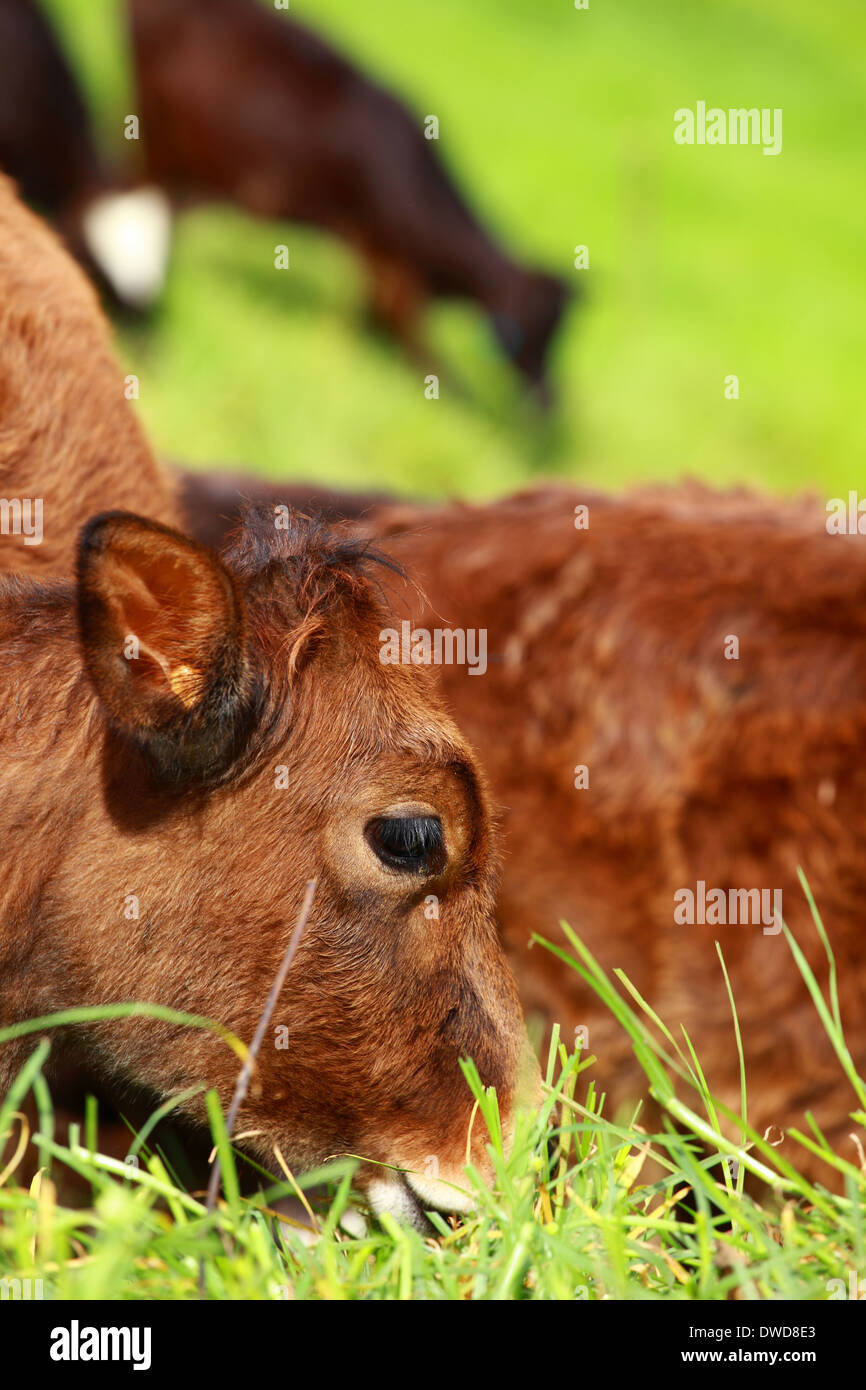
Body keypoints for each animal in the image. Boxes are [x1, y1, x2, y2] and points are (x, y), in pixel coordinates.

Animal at [126, 0, 570, 401]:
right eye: (530, 328)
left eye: (560, 331)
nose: (550, 400)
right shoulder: (389, 258)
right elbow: (411, 330)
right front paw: (449, 388)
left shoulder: (375, 253)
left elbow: (377, 314)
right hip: (158, 137)